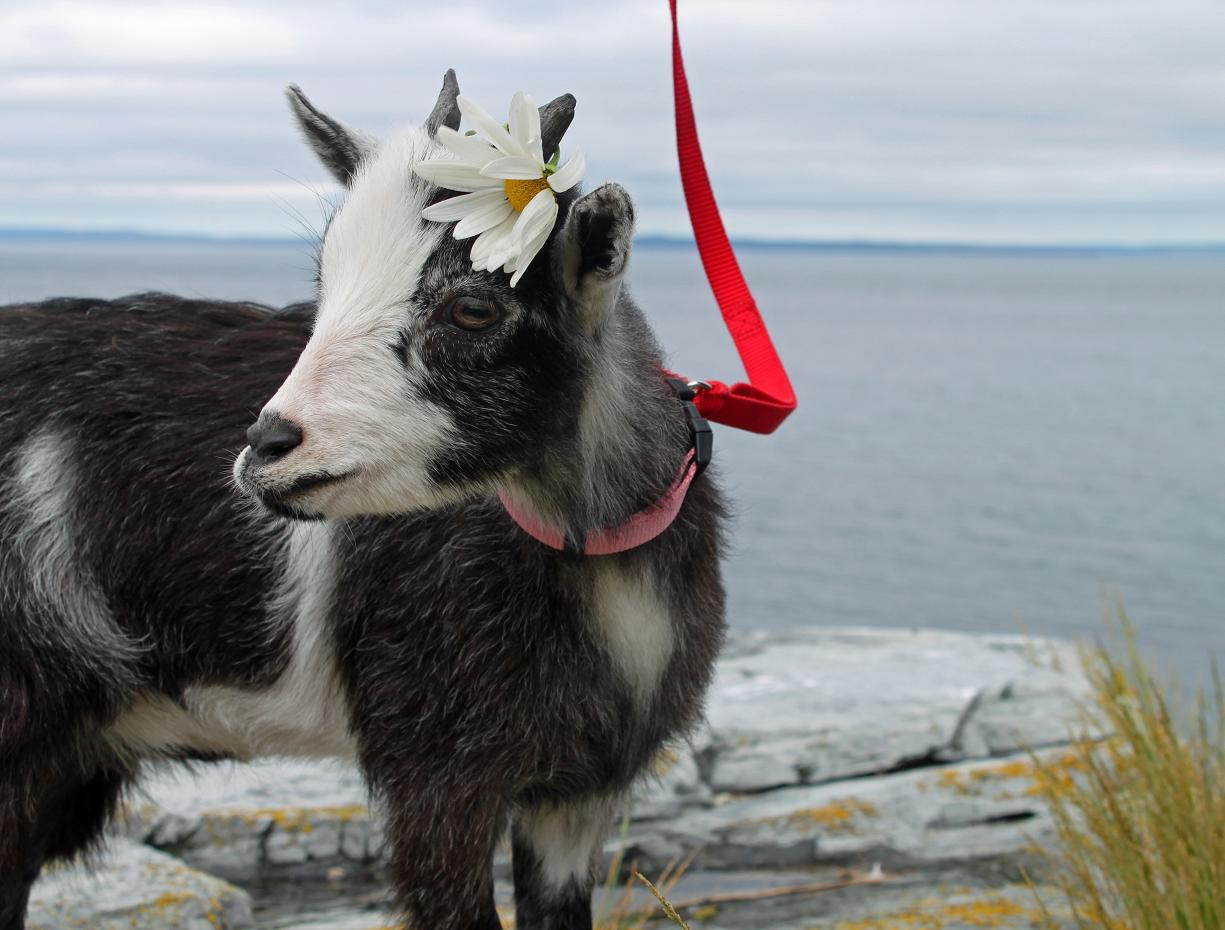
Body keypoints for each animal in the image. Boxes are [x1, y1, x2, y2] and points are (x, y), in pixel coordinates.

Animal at [0, 71, 726, 930]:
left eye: (472, 307)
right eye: (325, 279)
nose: (267, 447)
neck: (600, 562)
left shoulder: (575, 797)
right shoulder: (436, 771)